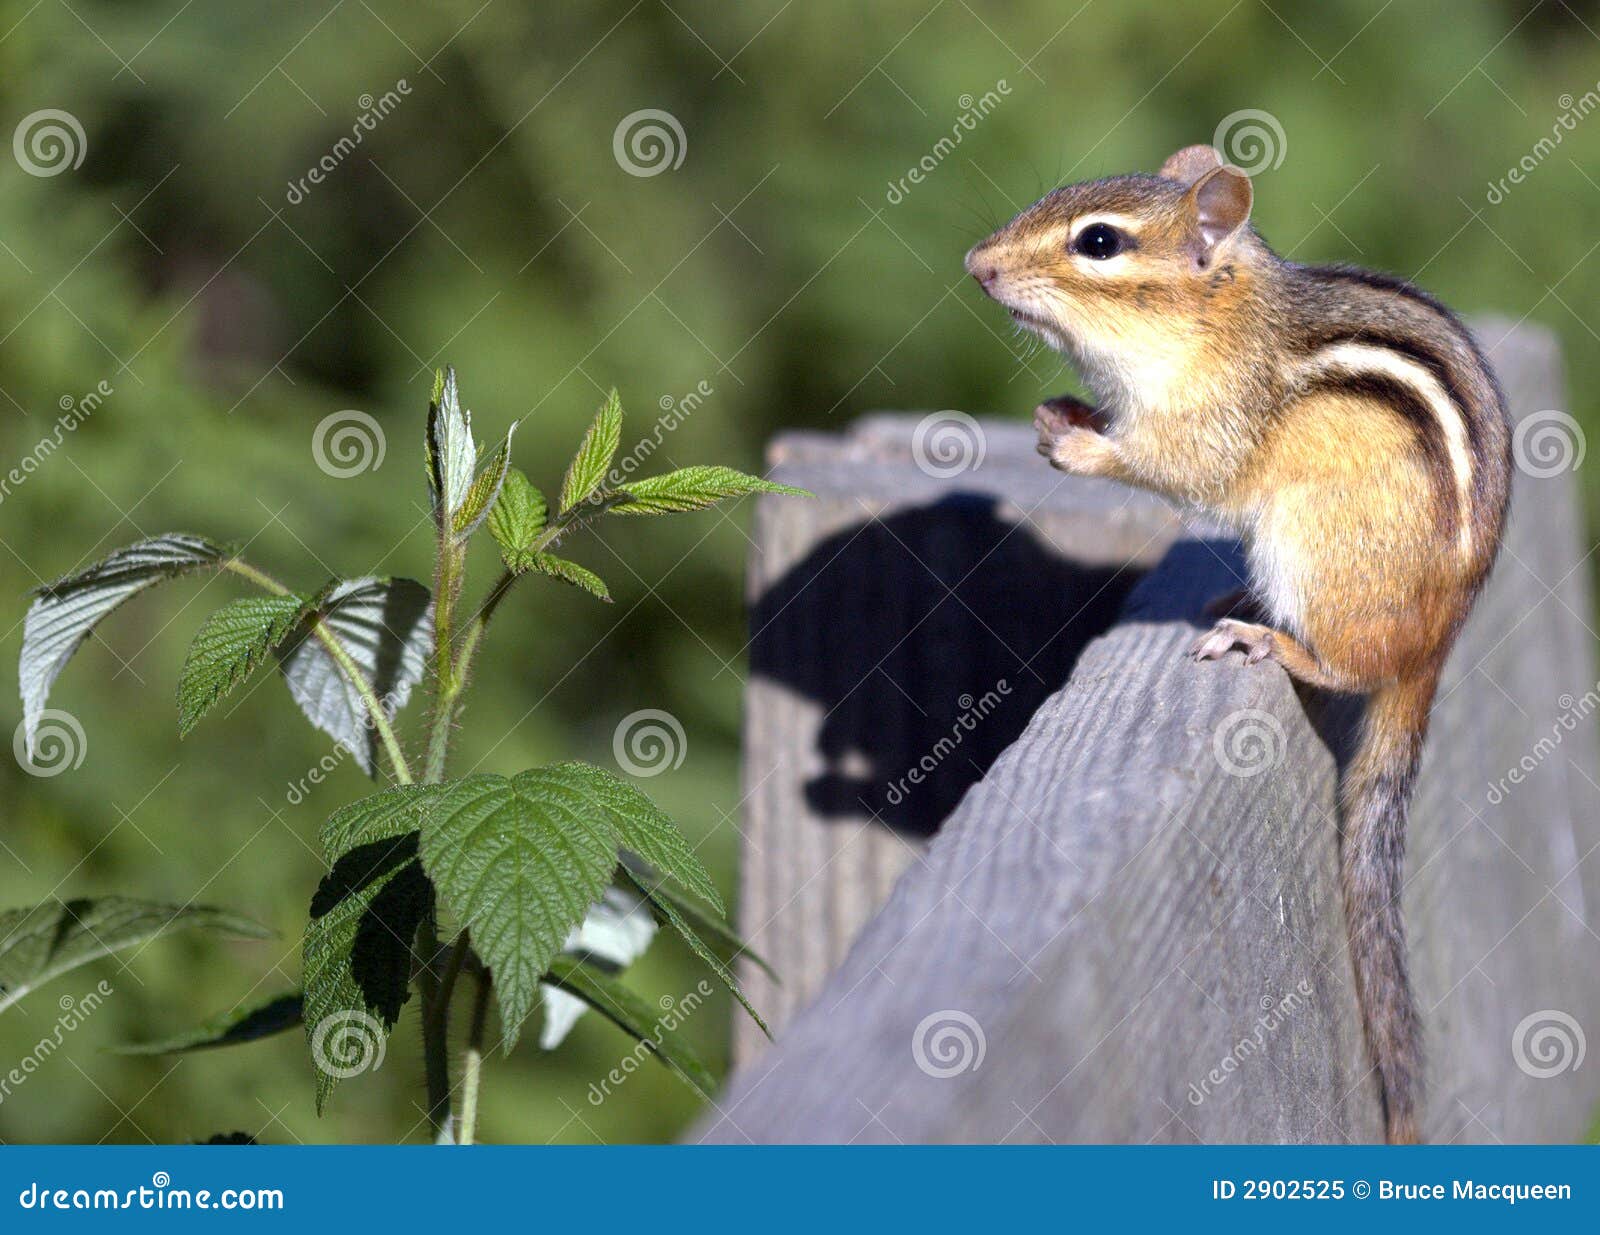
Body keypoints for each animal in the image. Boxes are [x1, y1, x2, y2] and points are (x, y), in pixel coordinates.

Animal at [965, 144, 1511, 1145]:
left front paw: (1080, 446)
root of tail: (1437, 643)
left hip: (1313, 544)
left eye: (1098, 243)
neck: (1216, 317)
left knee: (1348, 666)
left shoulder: (1213, 419)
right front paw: (1067, 413)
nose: (976, 266)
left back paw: (1270, 639)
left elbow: (1178, 467)